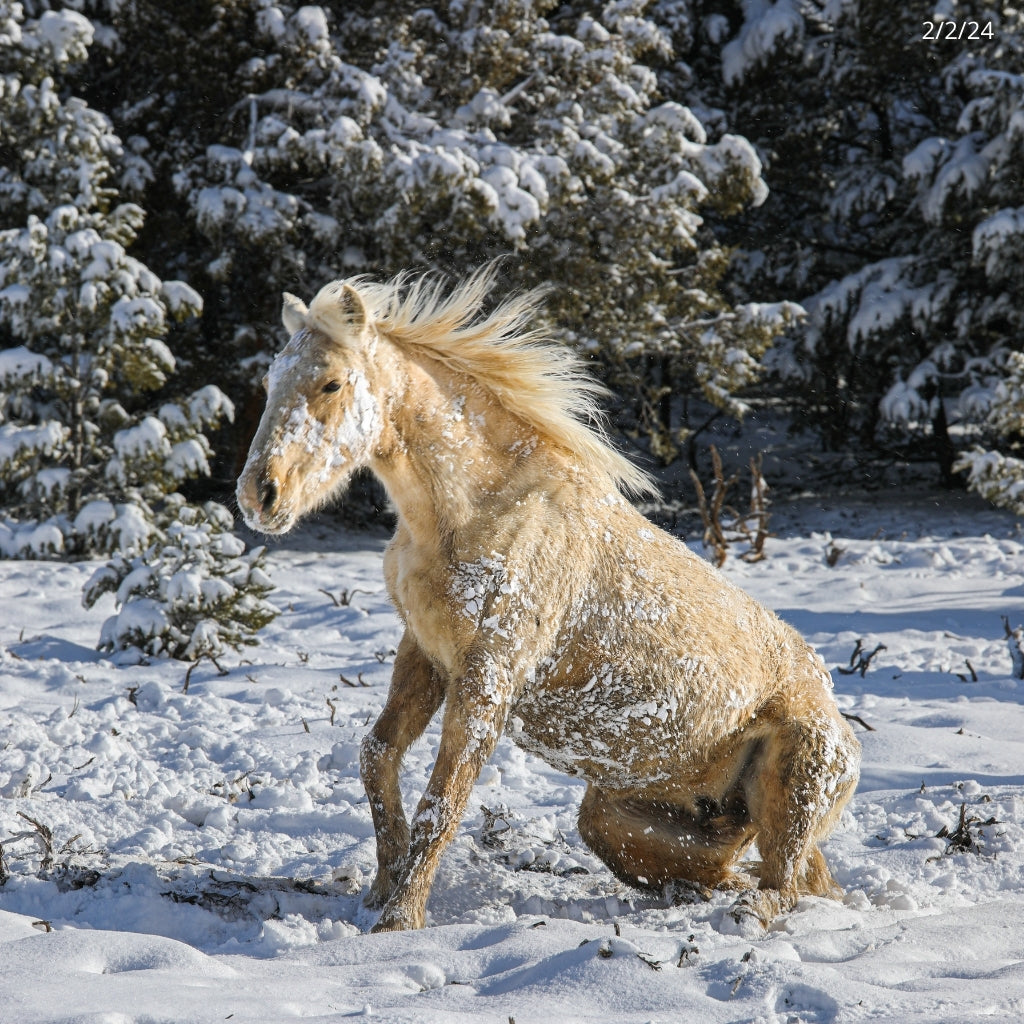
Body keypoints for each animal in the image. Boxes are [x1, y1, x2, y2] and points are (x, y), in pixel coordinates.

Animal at [236, 264, 860, 933]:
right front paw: (380, 890)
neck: (473, 511)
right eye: (271, 380)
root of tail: (839, 726)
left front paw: (400, 921)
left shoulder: (488, 676)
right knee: (757, 874)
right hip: (615, 821)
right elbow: (377, 756)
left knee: (781, 885)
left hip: (788, 787)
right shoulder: (425, 653)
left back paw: (747, 914)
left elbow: (443, 799)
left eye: (331, 382)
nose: (260, 496)